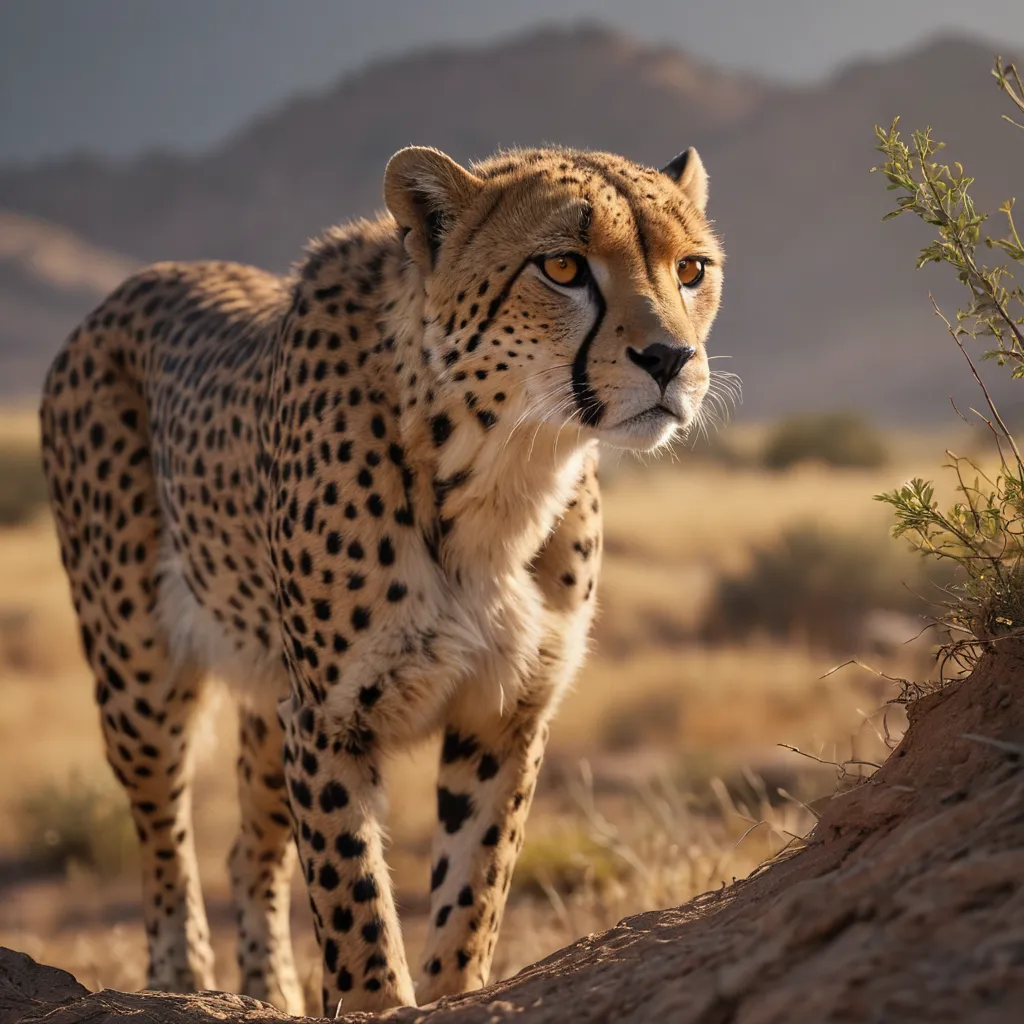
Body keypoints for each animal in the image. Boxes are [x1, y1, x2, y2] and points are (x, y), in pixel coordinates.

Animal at [38, 142, 725, 1015]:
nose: (672, 359)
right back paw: (180, 981)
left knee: (246, 850)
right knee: (164, 836)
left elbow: (476, 884)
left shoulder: (503, 709)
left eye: (691, 268)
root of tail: (130, 288)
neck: (503, 465)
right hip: (139, 671)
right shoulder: (329, 719)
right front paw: (376, 999)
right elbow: (353, 897)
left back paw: (269, 989)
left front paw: (452, 988)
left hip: (265, 691)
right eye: (564, 267)